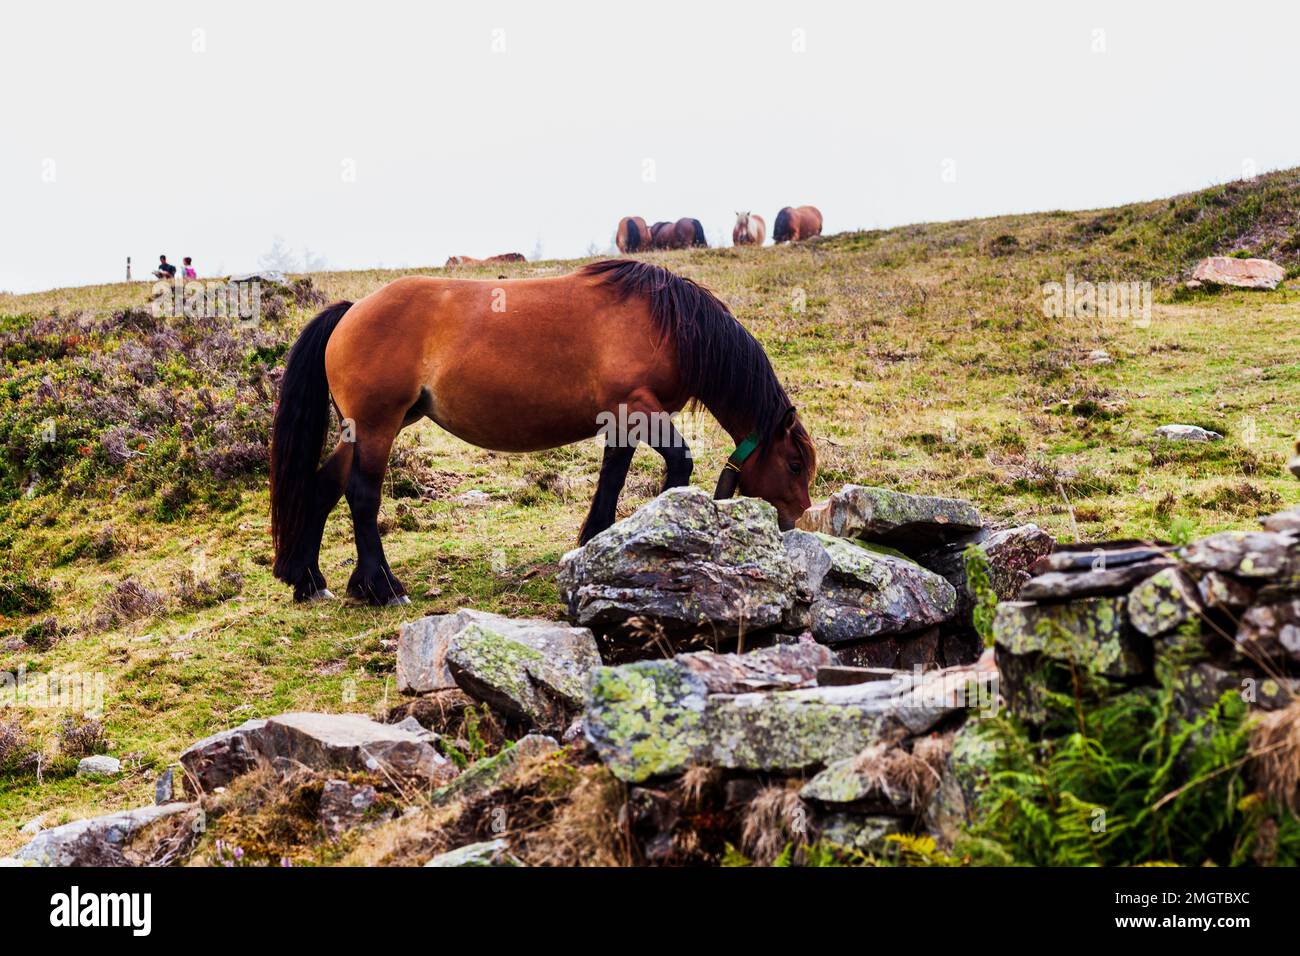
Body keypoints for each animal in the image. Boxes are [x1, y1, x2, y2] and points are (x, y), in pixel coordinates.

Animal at [269, 259, 815, 605]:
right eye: (793, 465)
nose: (796, 522)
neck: (670, 325)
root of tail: (352, 310)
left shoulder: (621, 419)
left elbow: (611, 479)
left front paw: (594, 542)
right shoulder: (639, 408)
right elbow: (679, 462)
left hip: (368, 428)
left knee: (323, 486)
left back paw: (312, 581)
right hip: (378, 427)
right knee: (361, 497)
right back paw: (381, 588)